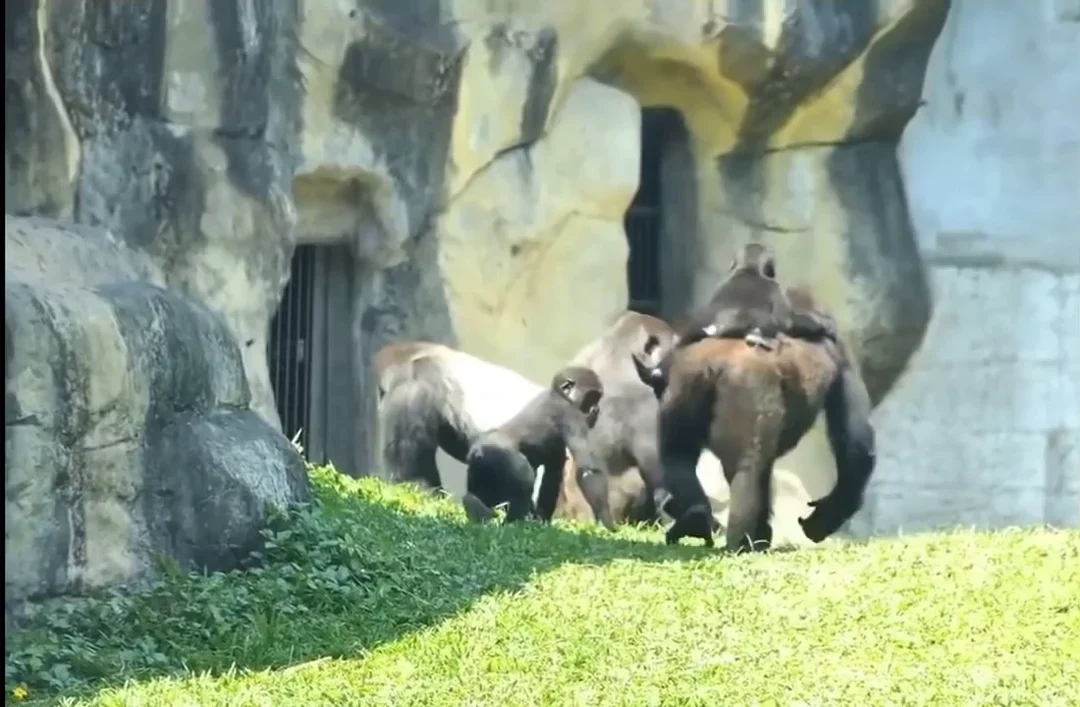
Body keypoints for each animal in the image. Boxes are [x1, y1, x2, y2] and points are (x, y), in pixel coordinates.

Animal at [462, 366, 605, 524]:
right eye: (591, 397)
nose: (596, 410)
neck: (559, 394)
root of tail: (478, 450)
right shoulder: (571, 413)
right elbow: (587, 469)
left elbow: (553, 473)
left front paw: (542, 520)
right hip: (499, 454)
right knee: (524, 478)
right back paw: (515, 521)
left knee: (475, 495)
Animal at [631, 313, 876, 552]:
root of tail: (713, 365)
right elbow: (855, 445)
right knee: (743, 468)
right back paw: (739, 537)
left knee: (683, 457)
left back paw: (707, 523)